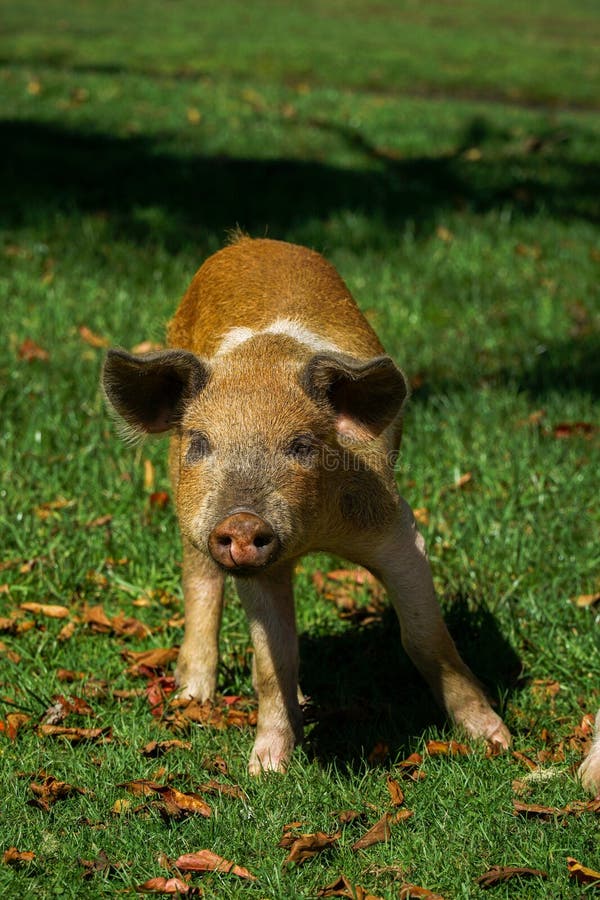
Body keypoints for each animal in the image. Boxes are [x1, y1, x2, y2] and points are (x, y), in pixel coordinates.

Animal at [102, 235, 511, 773]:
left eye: (300, 445)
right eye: (201, 443)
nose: (242, 521)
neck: (313, 538)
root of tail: (248, 242)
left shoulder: (397, 533)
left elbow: (426, 639)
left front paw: (498, 743)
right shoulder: (256, 569)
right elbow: (272, 661)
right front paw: (265, 770)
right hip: (190, 513)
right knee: (199, 575)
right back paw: (190, 698)